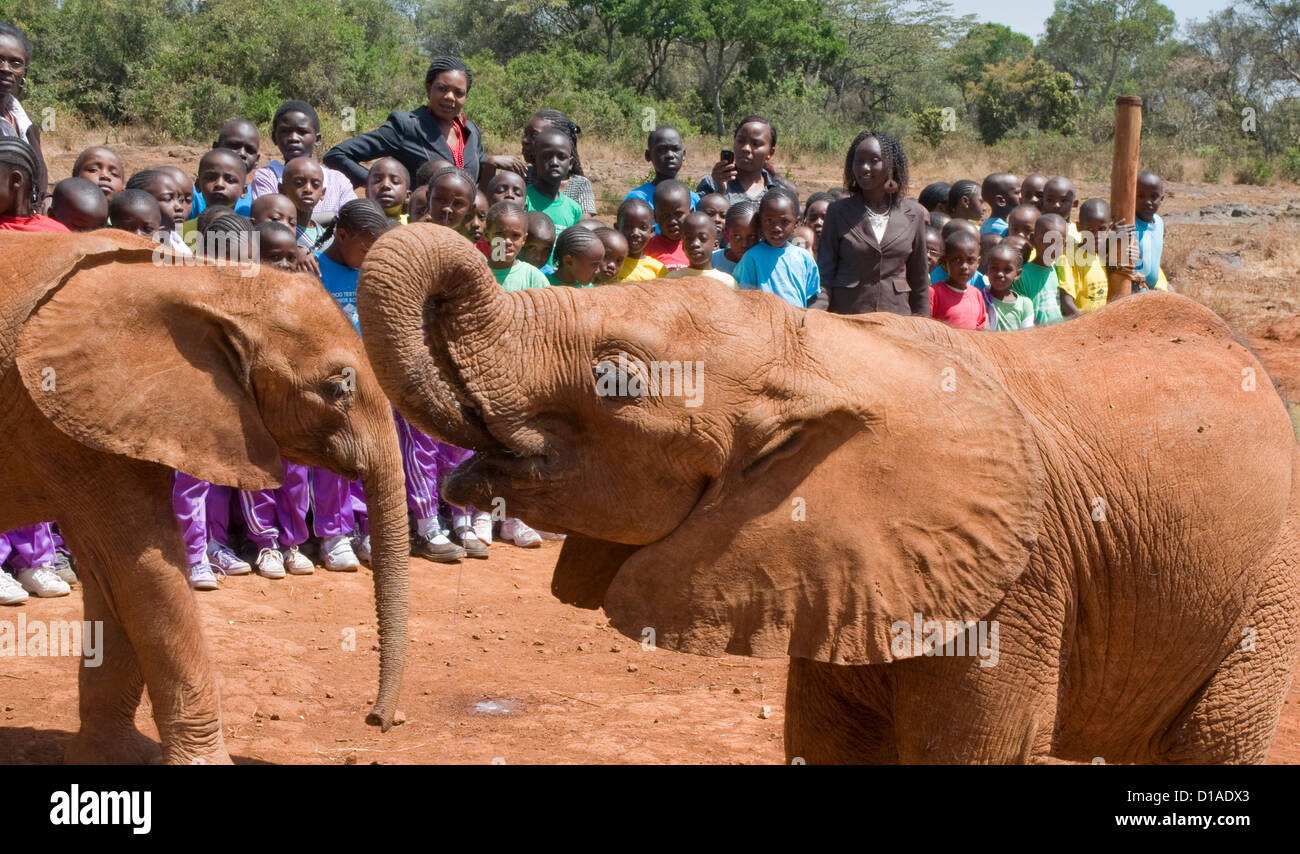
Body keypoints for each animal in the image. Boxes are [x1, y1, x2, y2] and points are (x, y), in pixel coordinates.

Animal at [0, 230, 408, 764]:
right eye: (337, 387)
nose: (377, 720)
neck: (208, 280)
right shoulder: (61, 415)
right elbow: (142, 572)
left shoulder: (112, 417)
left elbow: (112, 578)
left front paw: (115, 756)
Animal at [357, 224, 1300, 764]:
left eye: (616, 377)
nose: (380, 723)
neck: (823, 350)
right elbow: (822, 744)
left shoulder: (1022, 583)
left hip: (1270, 583)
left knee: (1214, 747)